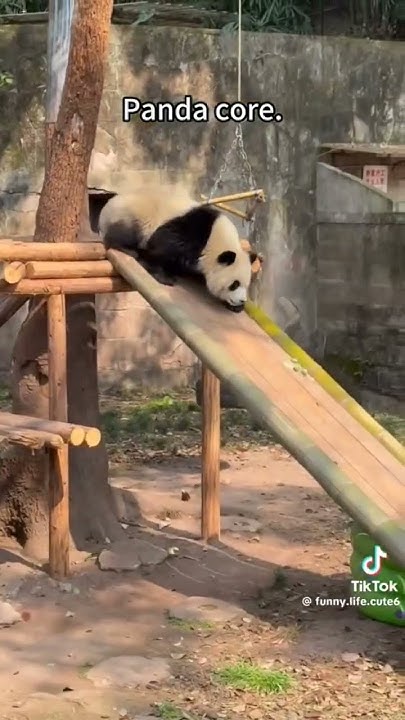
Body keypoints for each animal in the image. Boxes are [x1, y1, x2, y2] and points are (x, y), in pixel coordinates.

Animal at [98, 182, 261, 313]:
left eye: (246, 285)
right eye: (234, 284)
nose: (242, 300)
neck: (217, 240)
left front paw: (236, 307)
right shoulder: (194, 231)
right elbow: (165, 244)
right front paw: (164, 276)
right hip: (134, 214)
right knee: (124, 233)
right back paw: (129, 249)